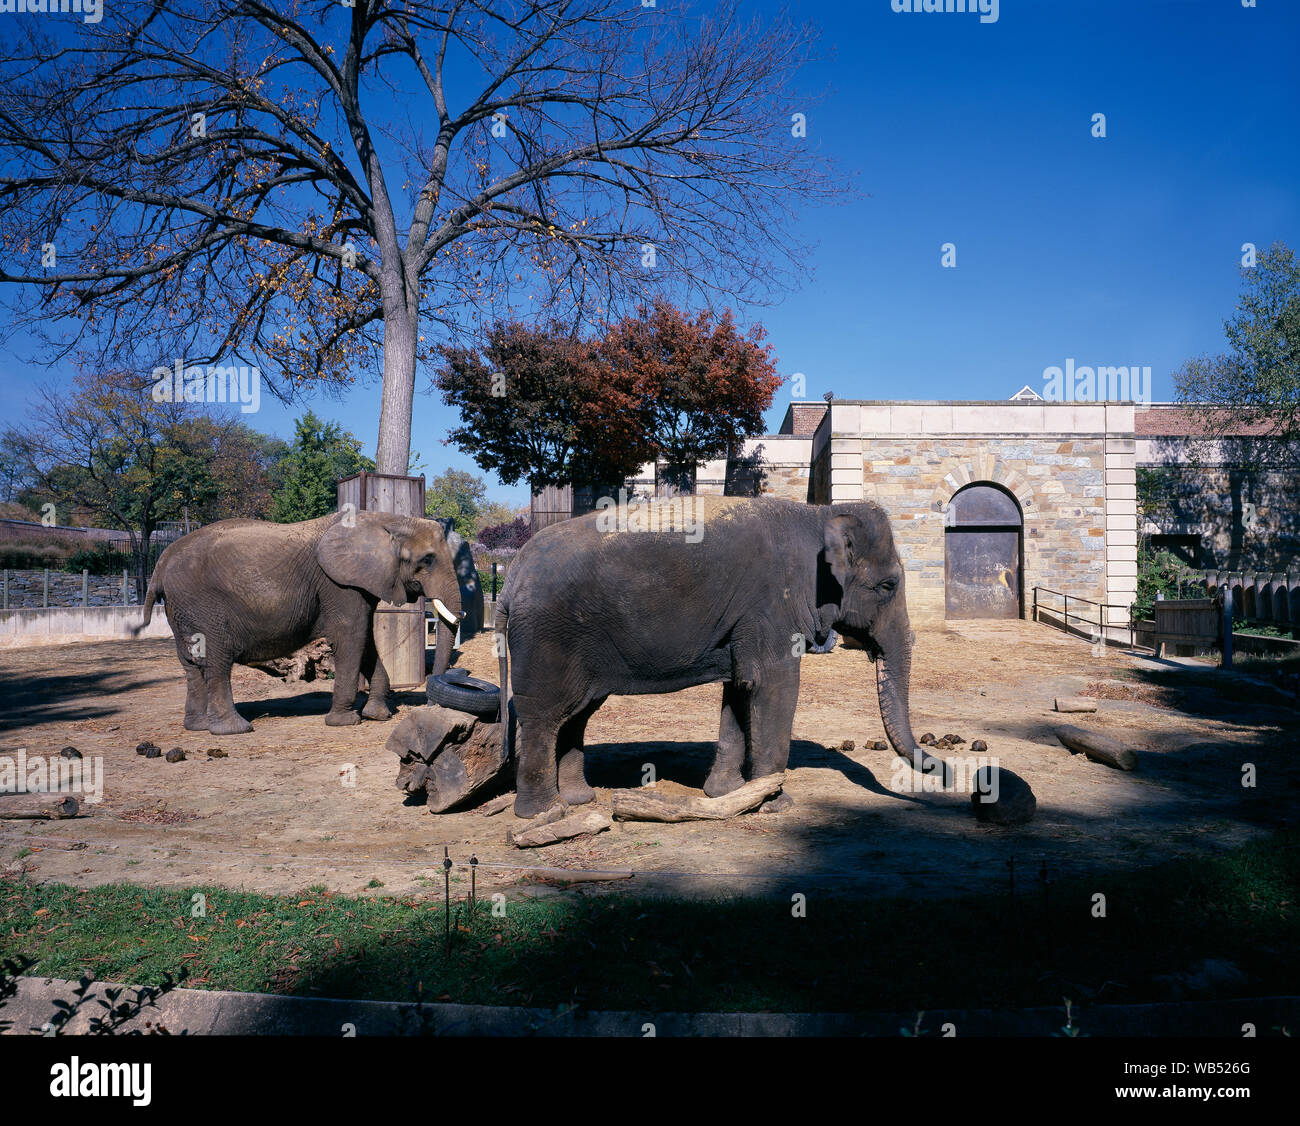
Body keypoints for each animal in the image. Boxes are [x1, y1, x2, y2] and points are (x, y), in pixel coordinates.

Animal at [135, 511, 463, 734]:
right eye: (428, 560)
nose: (433, 704)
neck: (385, 519)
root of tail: (160, 565)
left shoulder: (358, 584)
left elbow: (366, 640)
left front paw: (377, 715)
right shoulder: (336, 584)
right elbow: (352, 637)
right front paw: (345, 722)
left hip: (180, 610)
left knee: (191, 665)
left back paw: (198, 726)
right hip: (203, 606)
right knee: (216, 659)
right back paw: (235, 729)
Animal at [494, 495, 951, 818]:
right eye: (888, 586)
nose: (950, 773)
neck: (820, 513)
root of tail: (510, 577)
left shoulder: (746, 621)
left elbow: (740, 688)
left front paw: (728, 794)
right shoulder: (773, 604)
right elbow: (773, 685)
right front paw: (775, 804)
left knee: (576, 714)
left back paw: (579, 801)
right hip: (546, 637)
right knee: (544, 716)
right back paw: (546, 815)